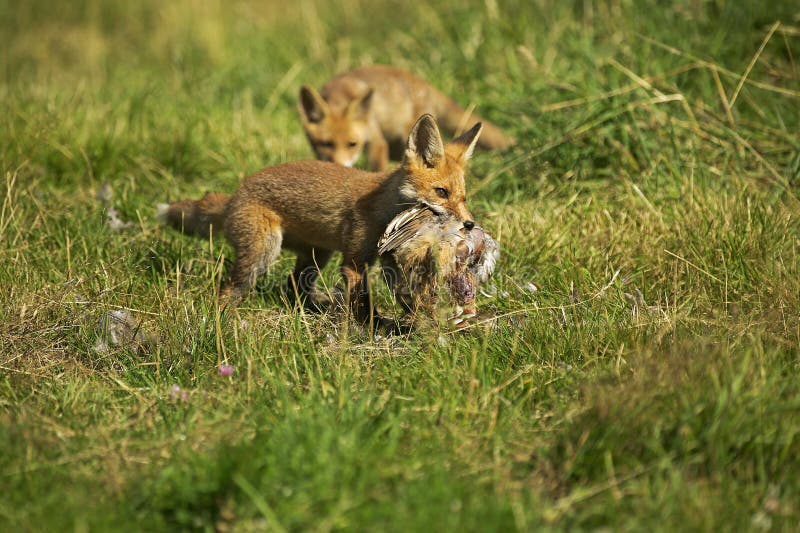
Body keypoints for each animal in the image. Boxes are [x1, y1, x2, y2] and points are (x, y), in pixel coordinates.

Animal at [158, 114, 483, 326]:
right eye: (441, 192)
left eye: (464, 197)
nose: (469, 225)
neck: (382, 205)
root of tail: (235, 195)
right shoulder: (354, 262)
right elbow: (363, 303)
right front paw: (373, 328)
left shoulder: (379, 258)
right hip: (264, 251)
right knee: (230, 288)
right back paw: (224, 316)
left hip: (317, 255)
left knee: (293, 284)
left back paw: (313, 308)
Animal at [298, 64, 513, 171]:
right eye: (325, 144)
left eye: (352, 144)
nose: (339, 166)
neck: (339, 96)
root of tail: (423, 83)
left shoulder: (376, 141)